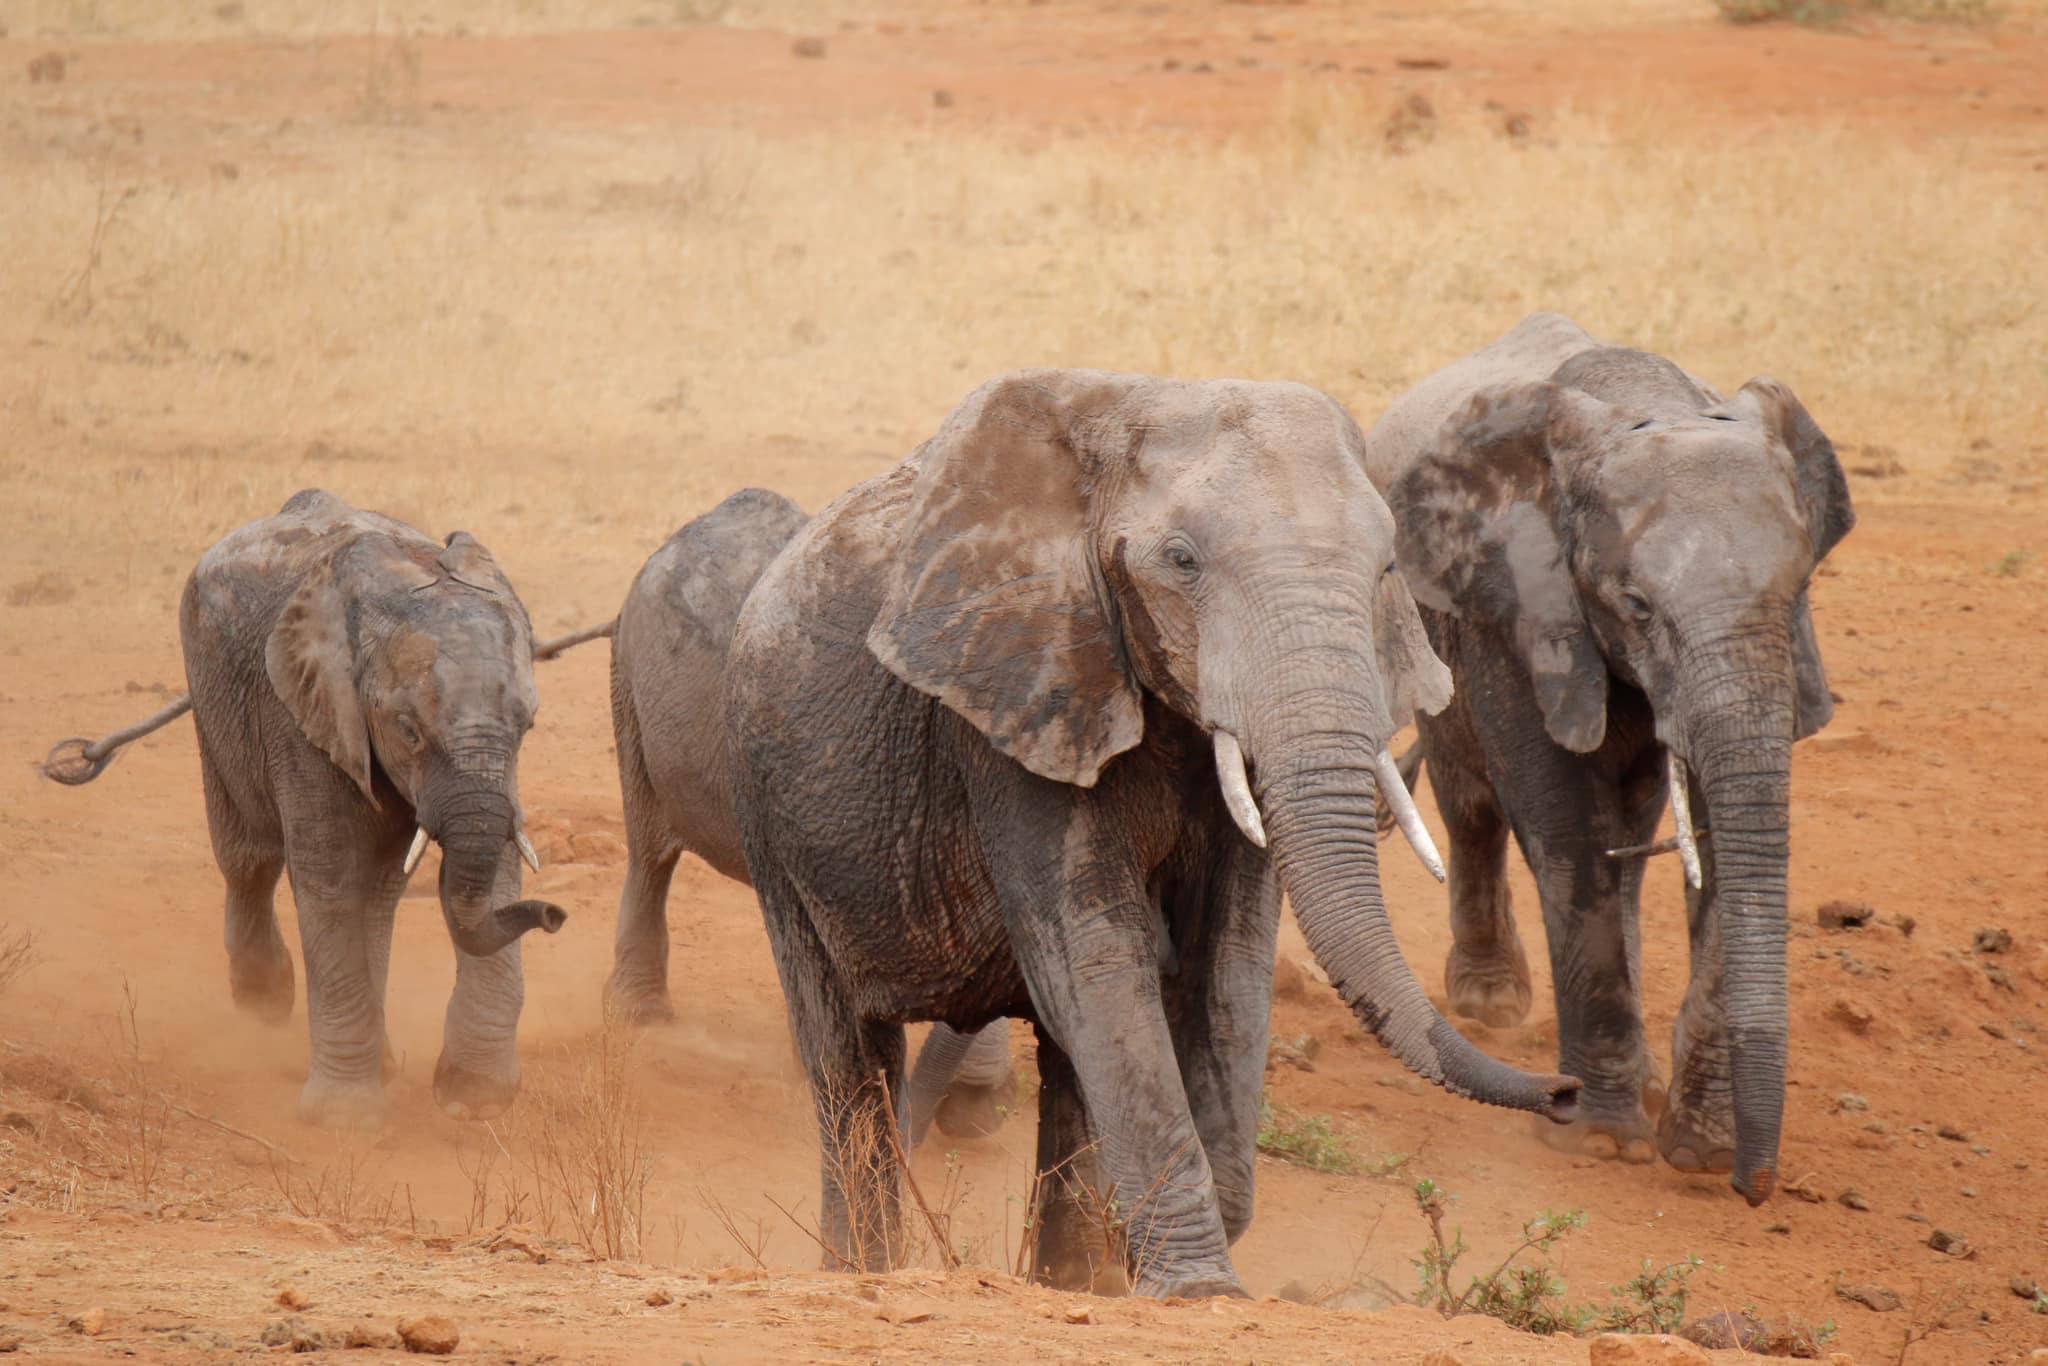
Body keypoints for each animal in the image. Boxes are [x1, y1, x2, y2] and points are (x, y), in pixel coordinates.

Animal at [42, 489, 568, 1127]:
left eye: (528, 725)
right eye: (408, 730)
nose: (555, 915)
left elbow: (499, 867)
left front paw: (473, 1098)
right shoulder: (302, 711)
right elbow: (328, 871)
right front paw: (345, 1121)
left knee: (380, 890)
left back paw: (380, 1059)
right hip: (211, 693)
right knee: (248, 859)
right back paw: (266, 1008)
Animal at [721, 369, 1581, 1298]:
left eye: (1387, 566)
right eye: (1182, 561)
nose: (1565, 1092)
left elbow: (1227, 961)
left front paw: (1152, 1265)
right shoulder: (1025, 694)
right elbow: (1099, 957)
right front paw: (1202, 1292)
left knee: (1061, 1066)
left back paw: (1069, 1282)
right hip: (770, 818)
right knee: (849, 1060)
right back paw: (864, 1272)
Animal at [1361, 312, 1855, 1205]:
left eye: (1799, 588)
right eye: (1636, 604)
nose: (1753, 1186)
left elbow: (1717, 841)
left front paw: (1695, 1149)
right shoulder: (1516, 601)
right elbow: (1562, 822)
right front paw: (1601, 1146)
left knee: (1632, 822)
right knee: (1471, 801)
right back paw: (1490, 1002)